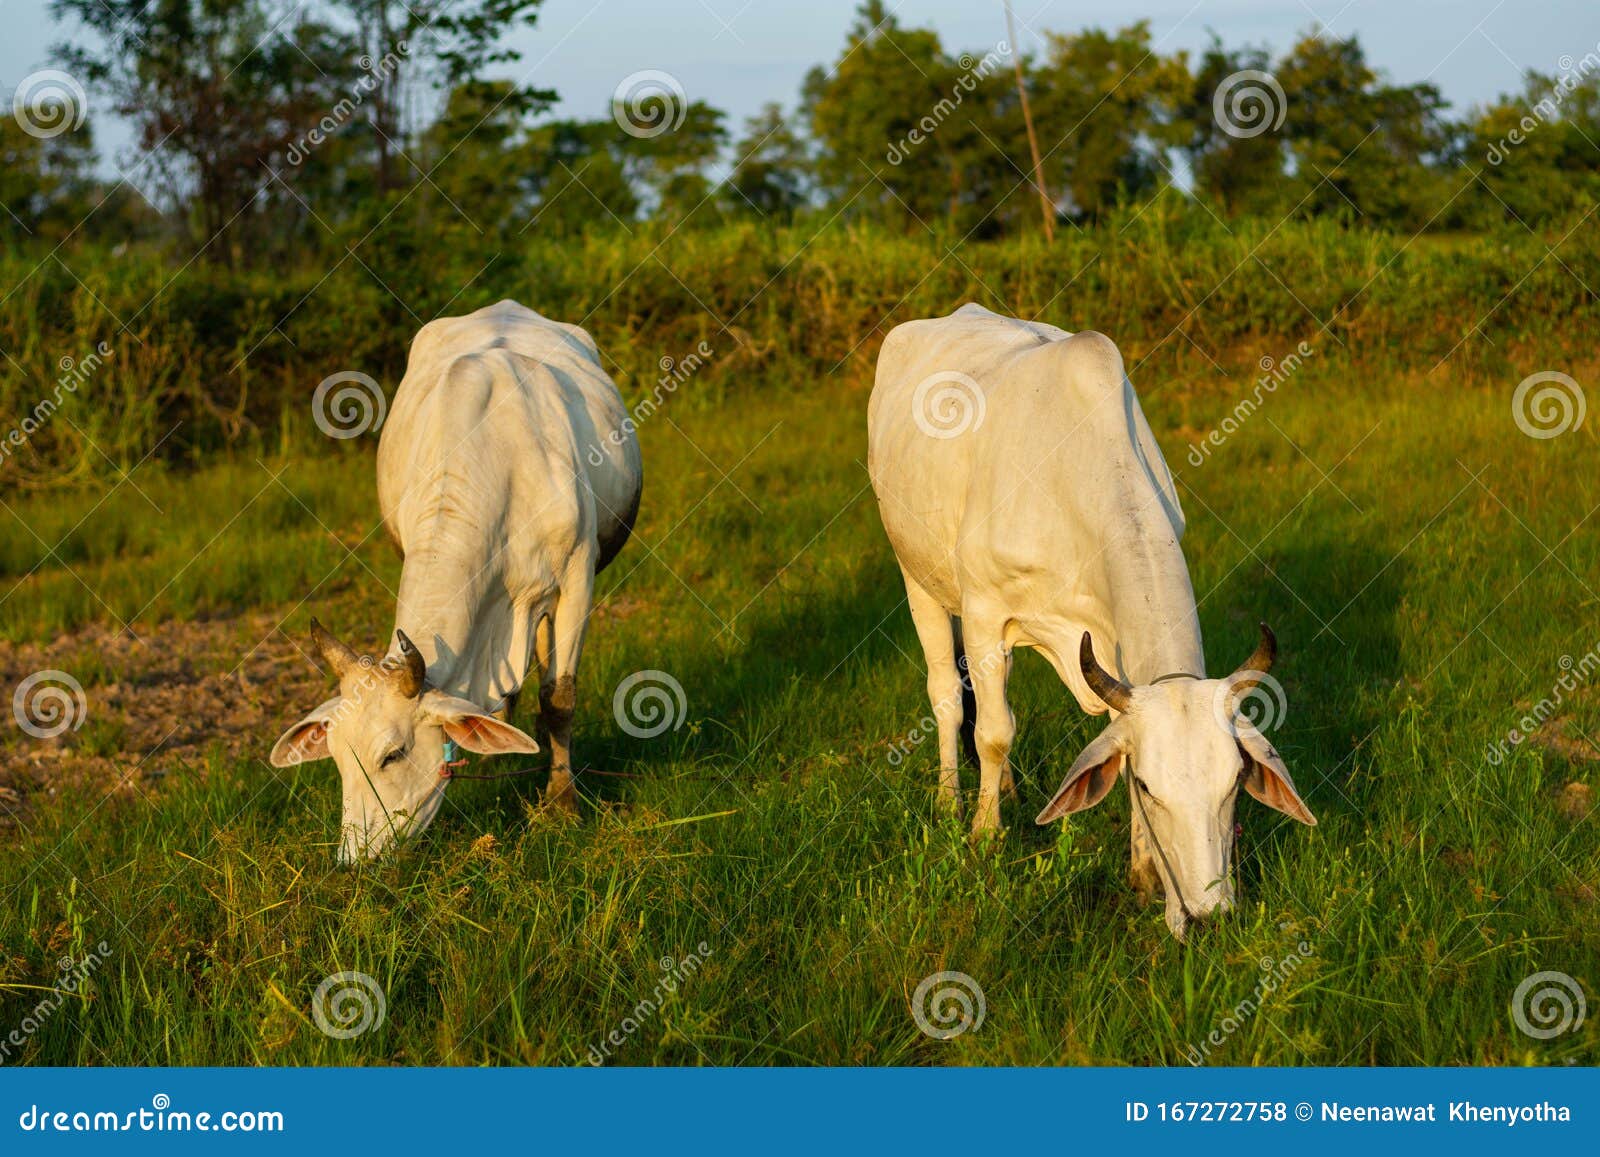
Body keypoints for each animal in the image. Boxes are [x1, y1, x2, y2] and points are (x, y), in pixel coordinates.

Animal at [271, 300, 643, 863]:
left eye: (393, 754)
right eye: (335, 757)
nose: (354, 860)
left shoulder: (578, 576)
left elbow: (560, 698)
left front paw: (561, 806)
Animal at [867, 303, 1315, 939]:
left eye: (1234, 783)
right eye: (1150, 788)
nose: (1208, 918)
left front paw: (1143, 870)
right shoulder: (983, 613)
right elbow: (993, 732)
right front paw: (984, 836)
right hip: (917, 577)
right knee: (949, 696)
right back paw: (951, 801)